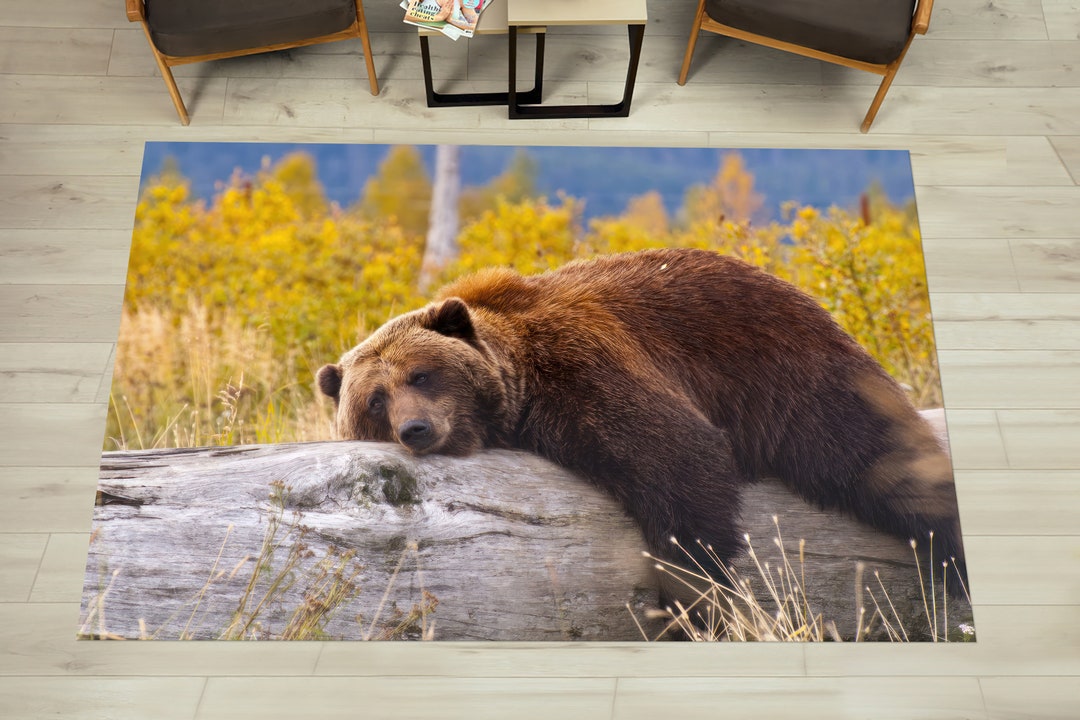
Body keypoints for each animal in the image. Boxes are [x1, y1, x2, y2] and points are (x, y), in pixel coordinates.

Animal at [317, 247, 966, 590]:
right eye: (374, 400)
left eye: (421, 375)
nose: (416, 429)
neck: (521, 382)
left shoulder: (583, 364)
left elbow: (677, 456)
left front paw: (691, 587)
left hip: (799, 380)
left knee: (880, 460)